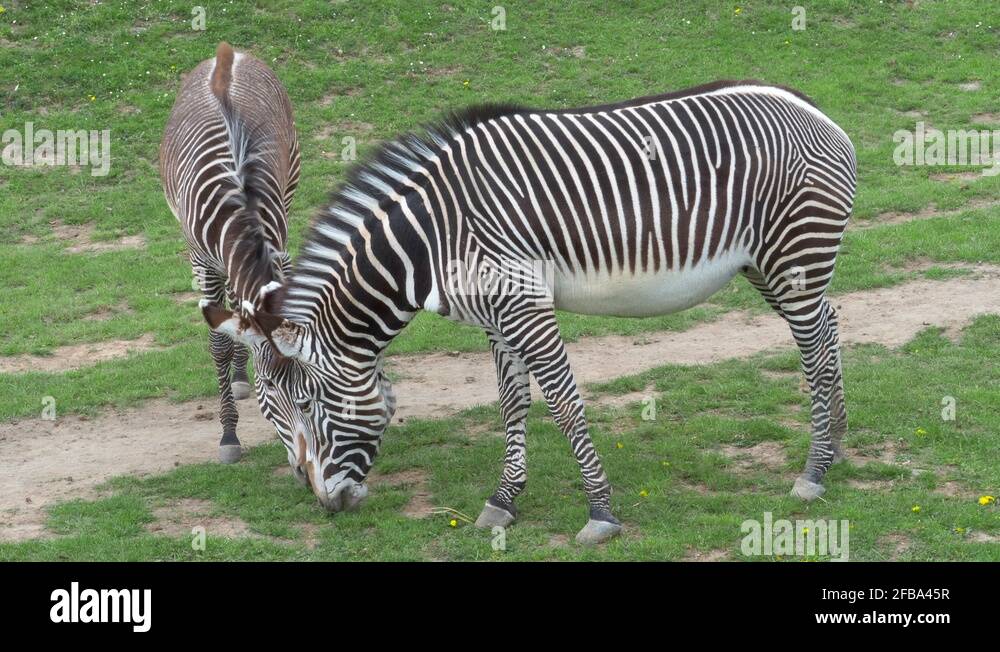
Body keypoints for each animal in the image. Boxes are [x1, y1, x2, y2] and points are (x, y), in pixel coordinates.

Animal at [204, 80, 856, 544]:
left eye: (308, 402)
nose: (324, 502)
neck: (433, 240)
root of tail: (812, 108)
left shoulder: (524, 304)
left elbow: (563, 402)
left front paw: (600, 513)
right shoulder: (497, 316)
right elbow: (511, 402)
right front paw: (502, 503)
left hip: (794, 256)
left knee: (814, 351)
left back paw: (814, 472)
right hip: (765, 265)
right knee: (828, 328)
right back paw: (839, 445)